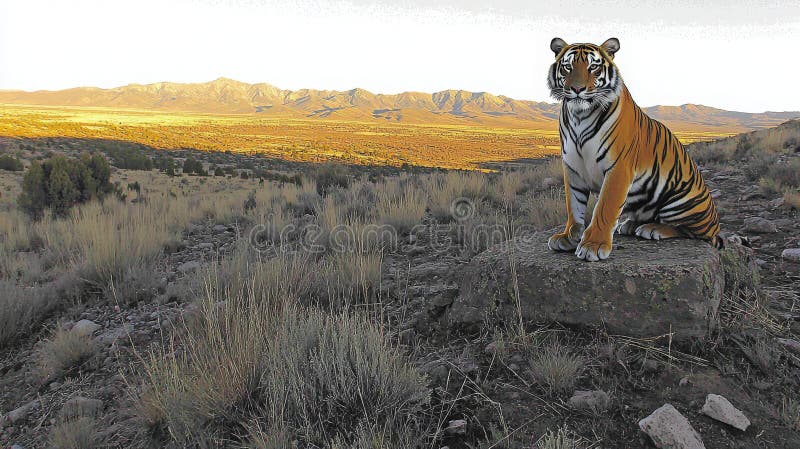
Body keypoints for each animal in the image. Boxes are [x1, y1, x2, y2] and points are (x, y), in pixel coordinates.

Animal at [545, 37, 722, 261]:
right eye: (568, 67)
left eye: (593, 67)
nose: (577, 89)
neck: (579, 115)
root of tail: (715, 224)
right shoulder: (573, 168)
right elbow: (574, 205)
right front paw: (568, 236)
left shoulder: (618, 167)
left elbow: (605, 208)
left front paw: (593, 245)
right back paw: (630, 225)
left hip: (681, 201)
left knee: (691, 231)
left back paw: (652, 229)